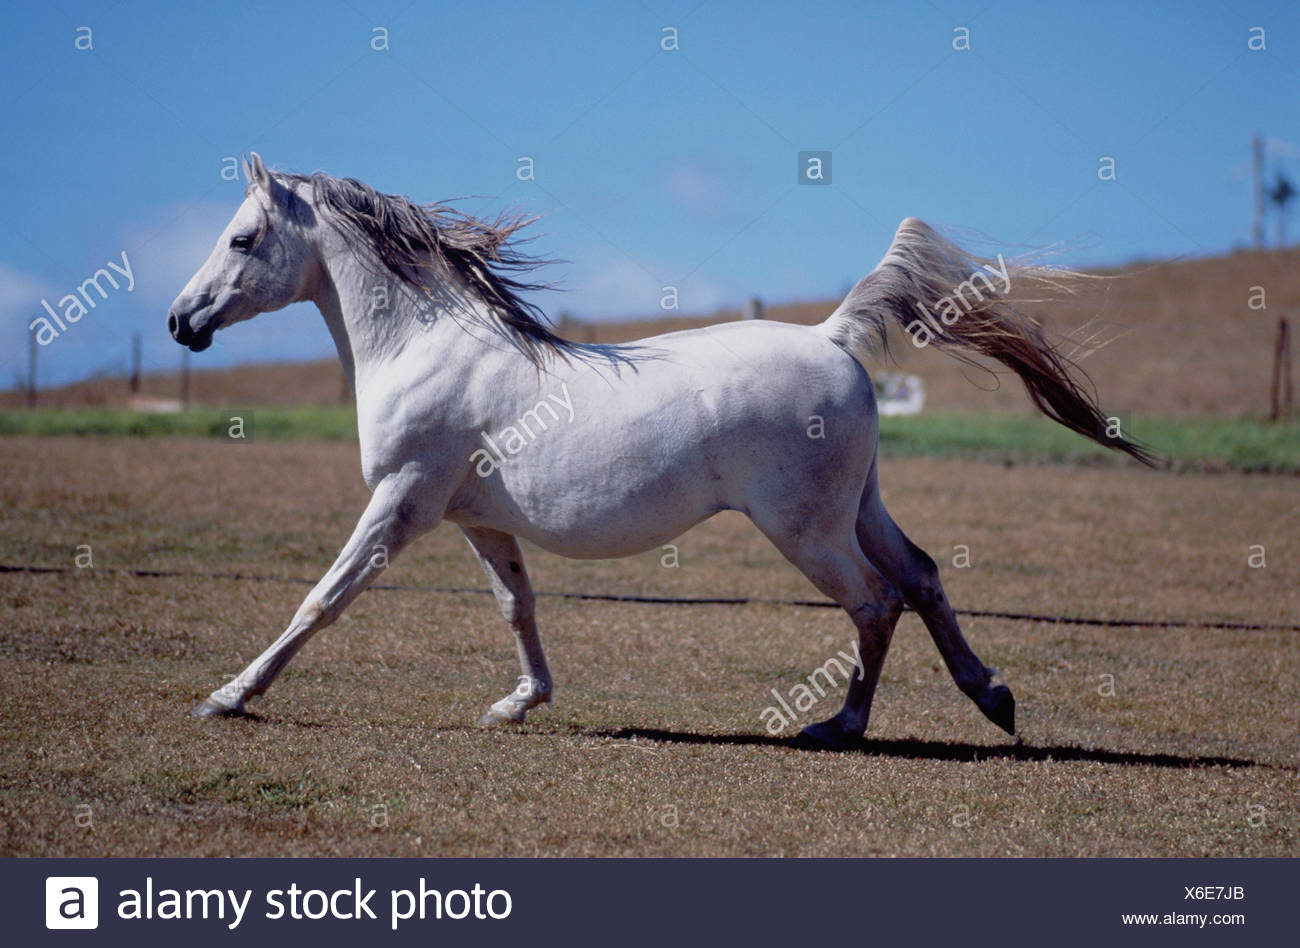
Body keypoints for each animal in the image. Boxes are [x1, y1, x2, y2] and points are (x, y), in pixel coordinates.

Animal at [169, 153, 1153, 749]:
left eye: (243, 237)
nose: (182, 321)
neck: (427, 346)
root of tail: (832, 336)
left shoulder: (403, 502)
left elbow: (323, 598)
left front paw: (228, 695)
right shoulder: (476, 521)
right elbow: (517, 607)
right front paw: (519, 702)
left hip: (805, 528)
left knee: (876, 603)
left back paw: (840, 726)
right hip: (858, 507)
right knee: (921, 576)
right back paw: (993, 698)